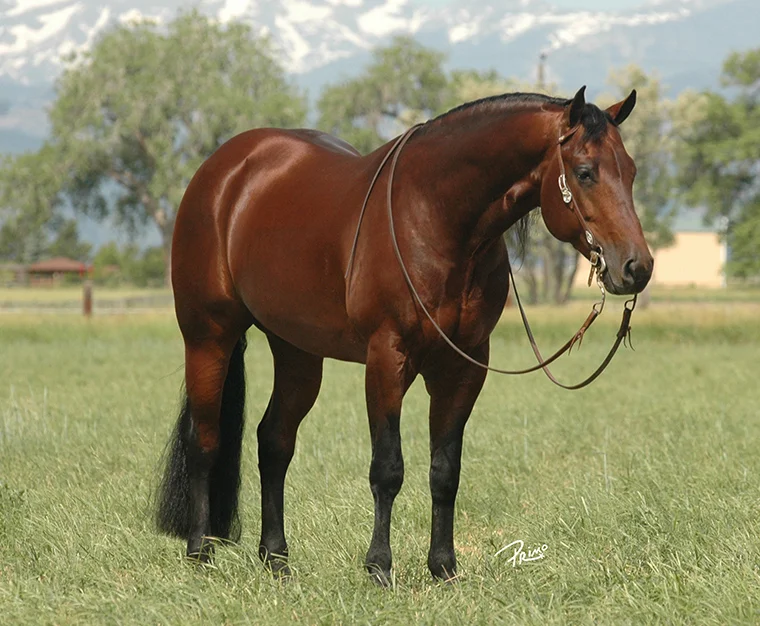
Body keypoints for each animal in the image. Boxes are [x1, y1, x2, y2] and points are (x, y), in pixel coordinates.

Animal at [156, 86, 653, 585]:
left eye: (630, 170)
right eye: (585, 173)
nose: (637, 268)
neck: (435, 216)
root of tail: (224, 169)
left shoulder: (463, 367)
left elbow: (445, 470)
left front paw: (444, 567)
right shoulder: (386, 358)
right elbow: (387, 468)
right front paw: (379, 567)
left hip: (297, 351)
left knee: (274, 441)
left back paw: (276, 559)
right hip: (208, 336)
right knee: (205, 441)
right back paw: (199, 552)